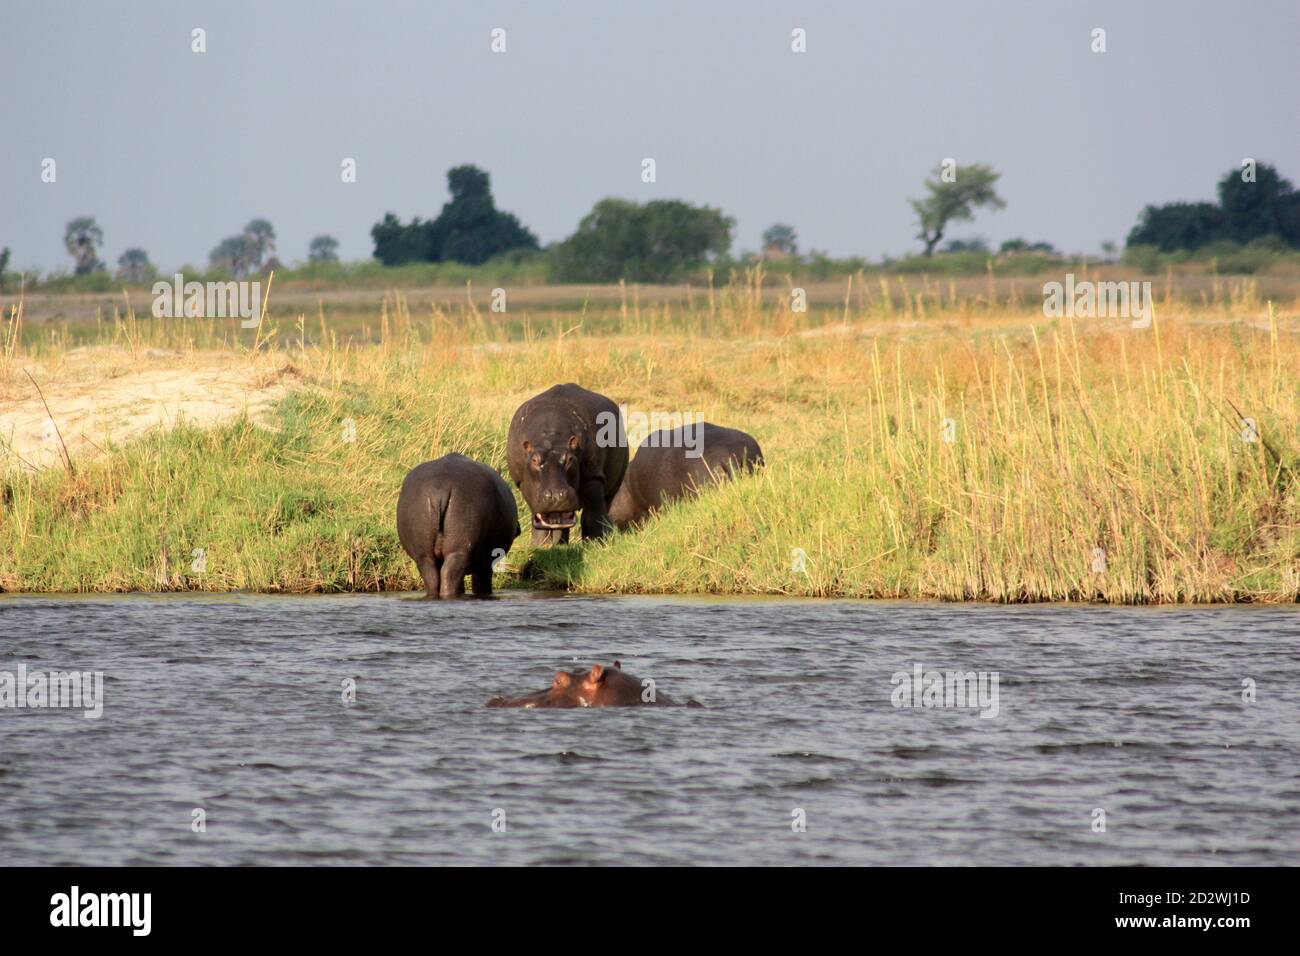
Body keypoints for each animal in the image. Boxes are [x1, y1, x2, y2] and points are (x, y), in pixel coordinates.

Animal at [396, 453, 521, 597]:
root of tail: (440, 487)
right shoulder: (485, 561)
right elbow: (481, 582)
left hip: (424, 554)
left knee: (433, 577)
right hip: (459, 551)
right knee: (449, 575)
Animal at [505, 384, 628, 545]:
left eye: (570, 459)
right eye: (534, 460)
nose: (556, 496)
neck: (551, 438)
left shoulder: (592, 476)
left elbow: (593, 515)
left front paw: (595, 543)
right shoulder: (524, 484)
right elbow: (539, 522)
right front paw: (539, 546)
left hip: (613, 485)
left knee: (604, 507)